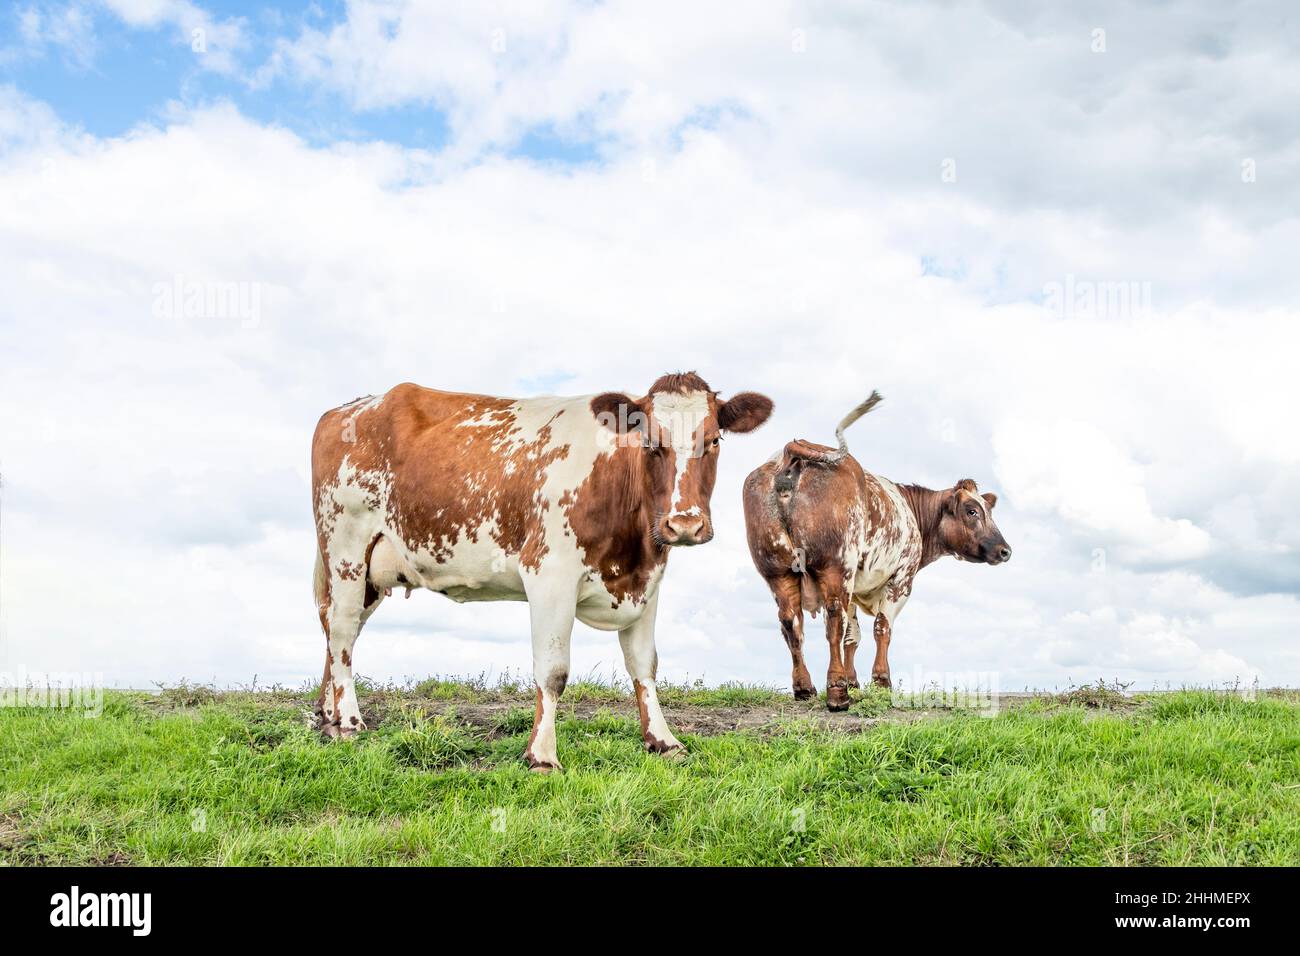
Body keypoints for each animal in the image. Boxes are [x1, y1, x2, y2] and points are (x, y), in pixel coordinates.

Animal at [311, 373, 773, 770]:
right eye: (651, 443)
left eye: (713, 440)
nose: (684, 524)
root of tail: (351, 407)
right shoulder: (550, 576)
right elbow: (553, 671)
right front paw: (542, 755)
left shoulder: (647, 582)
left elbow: (644, 664)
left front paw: (663, 740)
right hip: (346, 547)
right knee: (343, 630)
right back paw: (348, 721)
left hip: (370, 571)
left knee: (335, 628)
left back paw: (326, 715)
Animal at [742, 392, 1011, 710]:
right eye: (972, 511)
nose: (1005, 551)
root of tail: (789, 453)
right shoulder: (901, 579)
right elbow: (881, 628)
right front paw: (880, 682)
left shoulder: (856, 588)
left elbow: (852, 636)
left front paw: (854, 681)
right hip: (837, 566)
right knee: (833, 618)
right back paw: (837, 692)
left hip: (776, 570)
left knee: (791, 623)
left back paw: (805, 687)